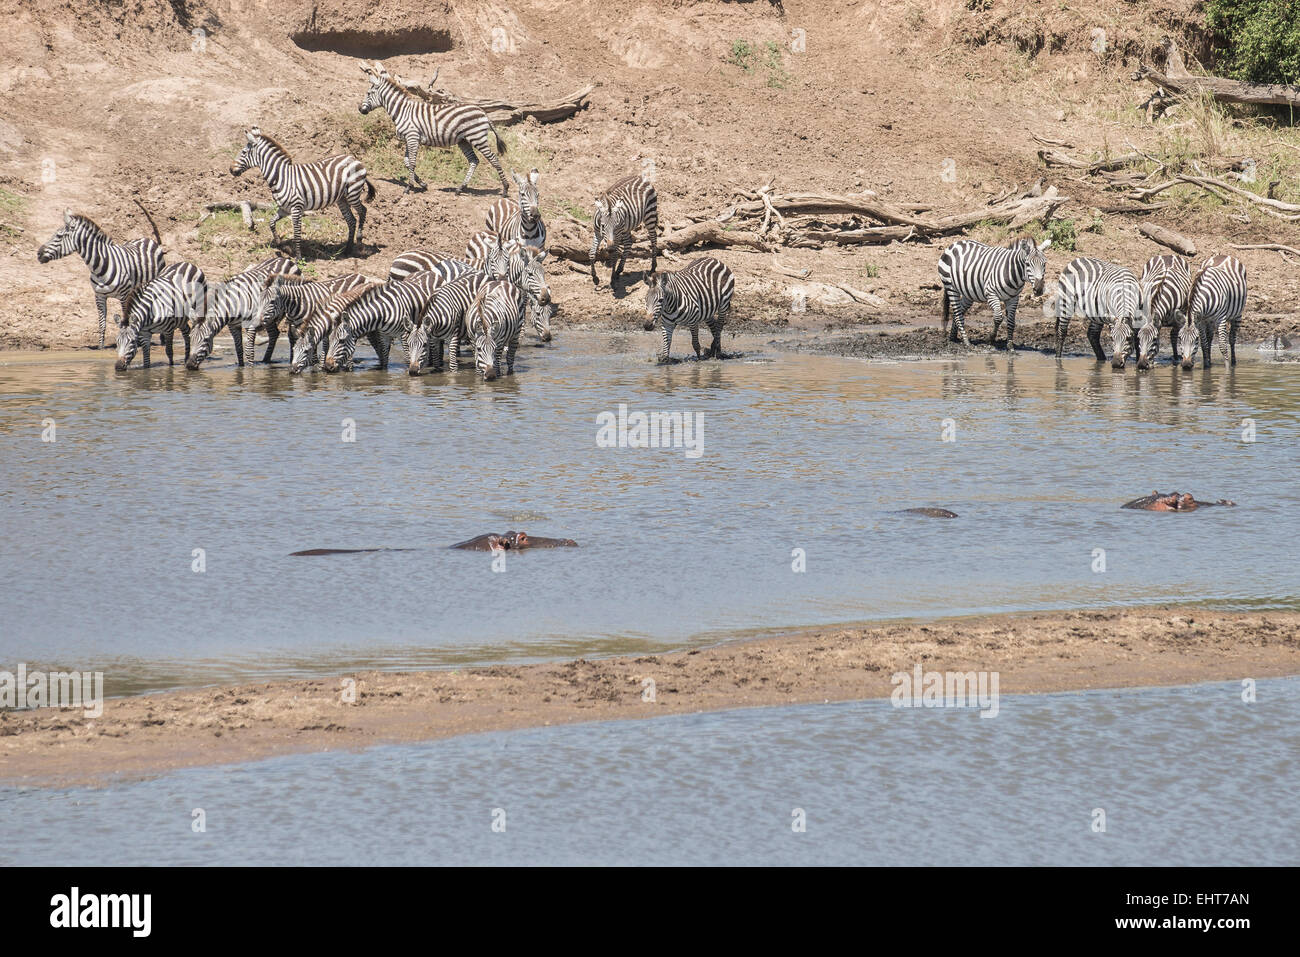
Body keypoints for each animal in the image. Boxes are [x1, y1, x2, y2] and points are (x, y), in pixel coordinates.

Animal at [37, 210, 165, 349]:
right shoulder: (99, 296)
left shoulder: (124, 296)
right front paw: (100, 346)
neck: (99, 267)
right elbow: (102, 323)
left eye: (59, 236)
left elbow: (126, 321)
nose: (38, 254)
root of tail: (147, 239)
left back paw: (162, 339)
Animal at [230, 127, 374, 260]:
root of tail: (354, 158)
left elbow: (297, 235)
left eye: (243, 152)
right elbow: (271, 223)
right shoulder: (284, 209)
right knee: (351, 220)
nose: (230, 170)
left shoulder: (296, 208)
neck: (281, 177)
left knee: (363, 211)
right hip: (342, 199)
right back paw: (347, 250)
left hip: (353, 193)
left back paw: (359, 242)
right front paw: (280, 244)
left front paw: (298, 258)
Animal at [358, 64, 509, 195]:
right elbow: (407, 162)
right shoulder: (409, 138)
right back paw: (460, 188)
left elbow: (412, 163)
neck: (402, 111)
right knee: (474, 161)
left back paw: (505, 189)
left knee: (493, 159)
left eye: (368, 93)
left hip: (477, 137)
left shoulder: (412, 137)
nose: (360, 110)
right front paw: (423, 184)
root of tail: (482, 111)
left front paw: (409, 187)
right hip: (464, 140)